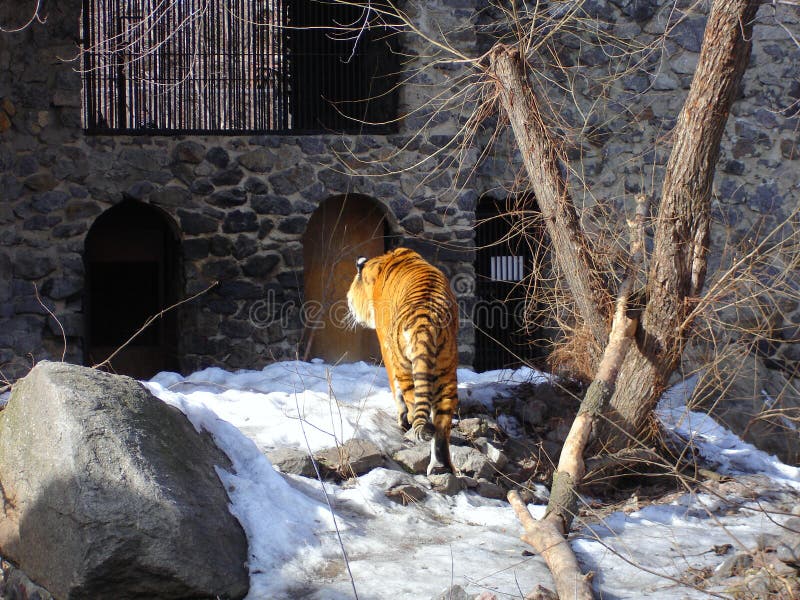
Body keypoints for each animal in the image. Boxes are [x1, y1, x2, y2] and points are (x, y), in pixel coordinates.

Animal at [346, 247, 459, 476]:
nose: (348, 303)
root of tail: (426, 322)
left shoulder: (386, 348)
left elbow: (395, 389)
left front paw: (401, 420)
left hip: (406, 366)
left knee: (414, 403)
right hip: (447, 370)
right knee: (441, 426)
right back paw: (442, 467)